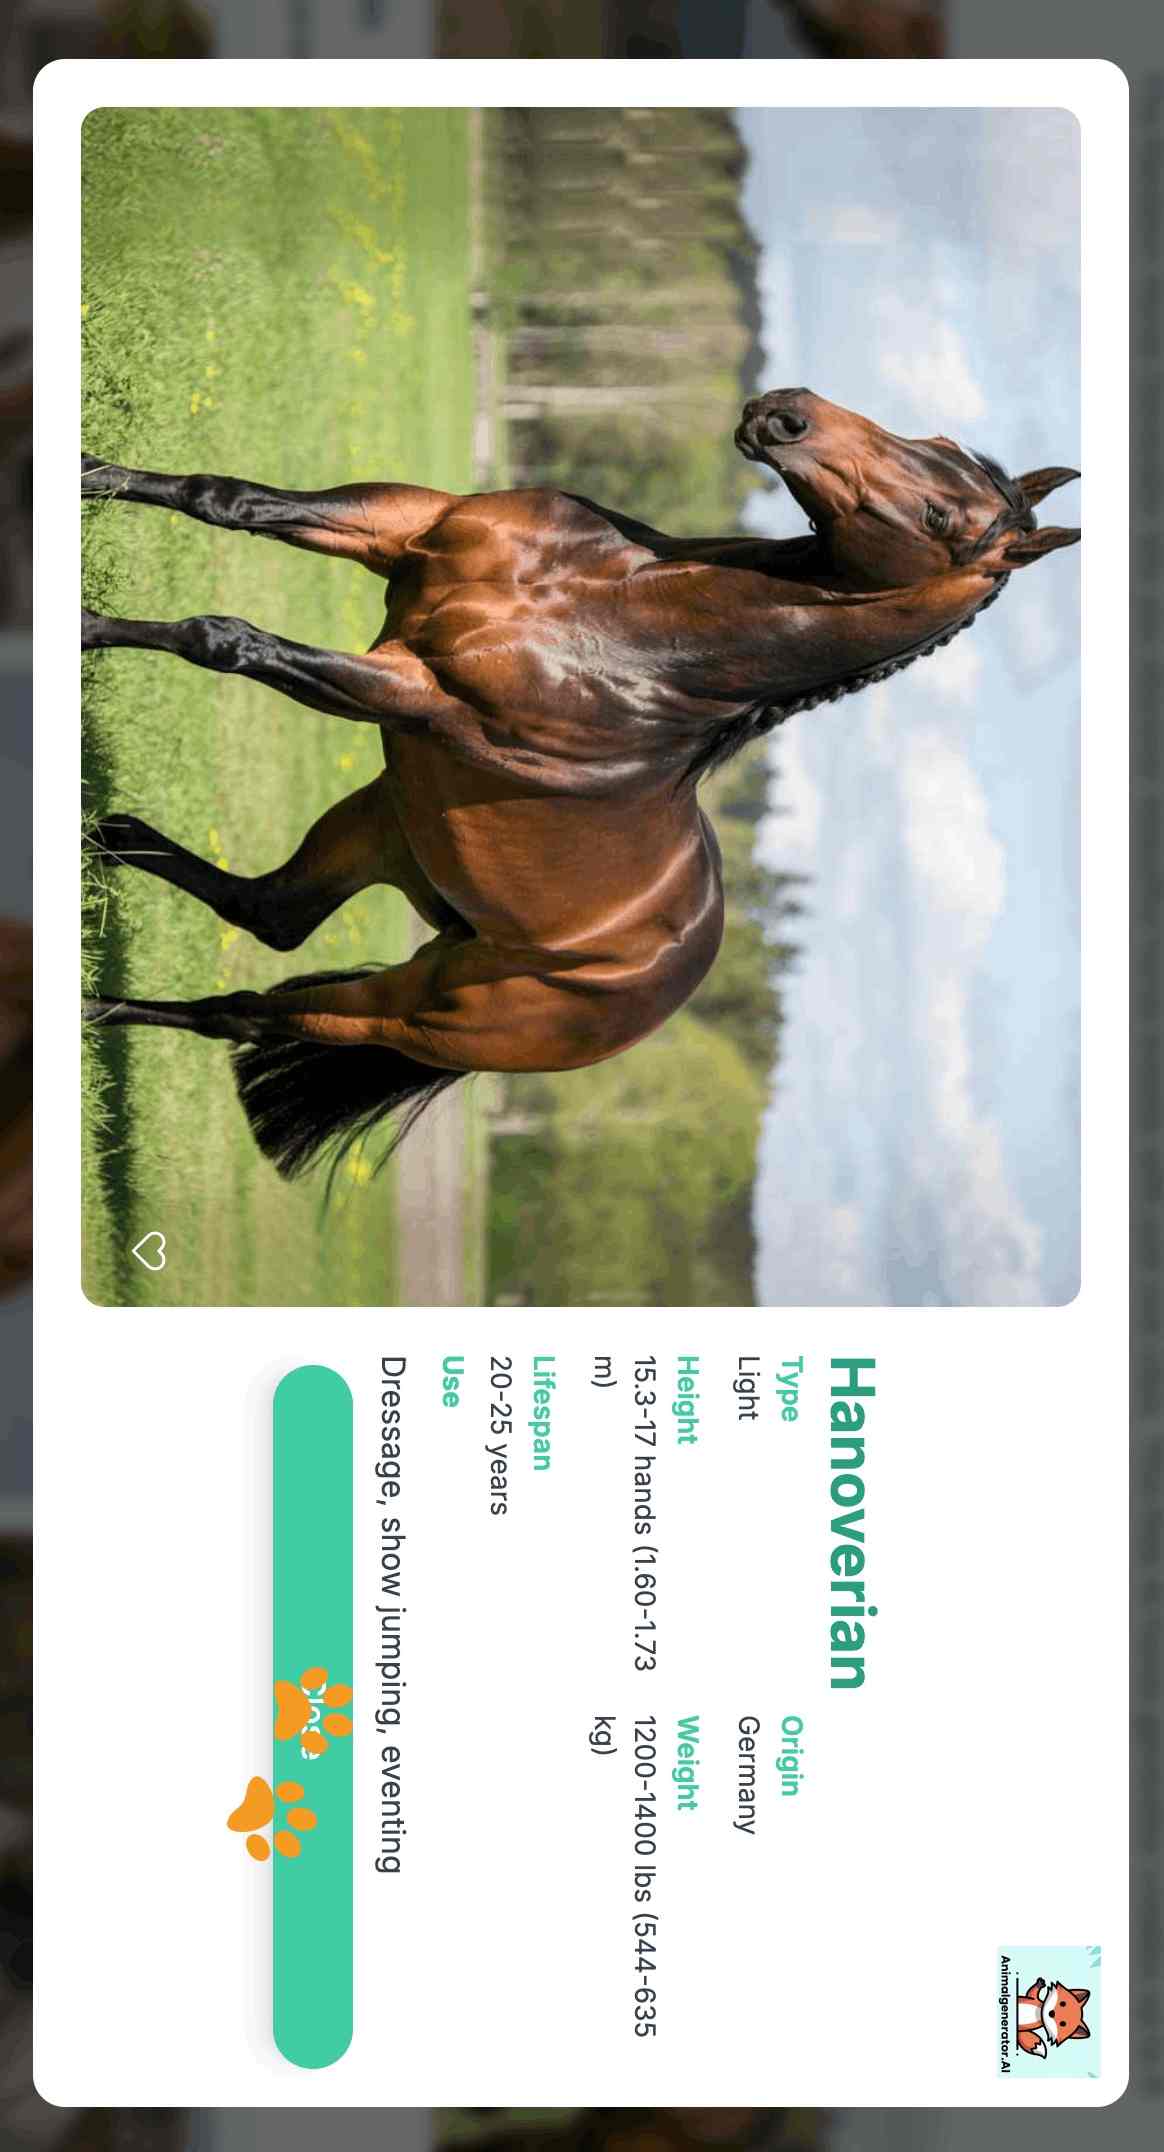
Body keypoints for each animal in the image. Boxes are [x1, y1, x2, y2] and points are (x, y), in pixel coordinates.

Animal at [81, 386, 1080, 1181]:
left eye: (944, 520)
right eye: (937, 439)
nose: (787, 413)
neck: (617, 620)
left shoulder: (412, 691)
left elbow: (222, 638)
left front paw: (87, 625)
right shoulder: (410, 528)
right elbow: (222, 498)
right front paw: (89, 476)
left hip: (414, 1011)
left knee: (249, 1011)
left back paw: (99, 996)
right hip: (388, 822)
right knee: (270, 913)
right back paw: (107, 844)